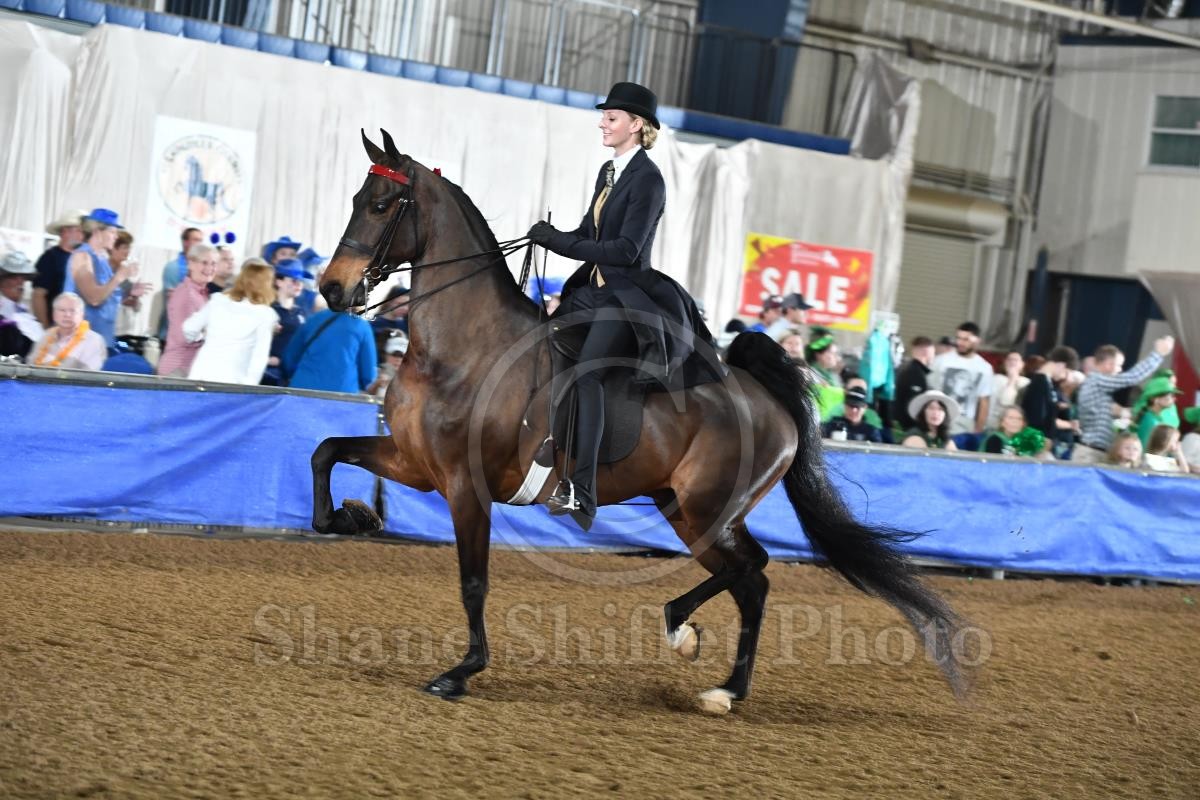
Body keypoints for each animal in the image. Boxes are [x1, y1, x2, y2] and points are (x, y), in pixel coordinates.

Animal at [312, 130, 971, 712]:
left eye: (380, 204)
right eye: (356, 198)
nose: (332, 289)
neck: (459, 349)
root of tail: (767, 395)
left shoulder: (464, 486)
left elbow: (473, 581)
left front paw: (461, 672)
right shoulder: (417, 464)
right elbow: (326, 450)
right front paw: (353, 517)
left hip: (707, 508)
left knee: (752, 570)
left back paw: (687, 636)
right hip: (685, 509)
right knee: (750, 581)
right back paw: (723, 690)